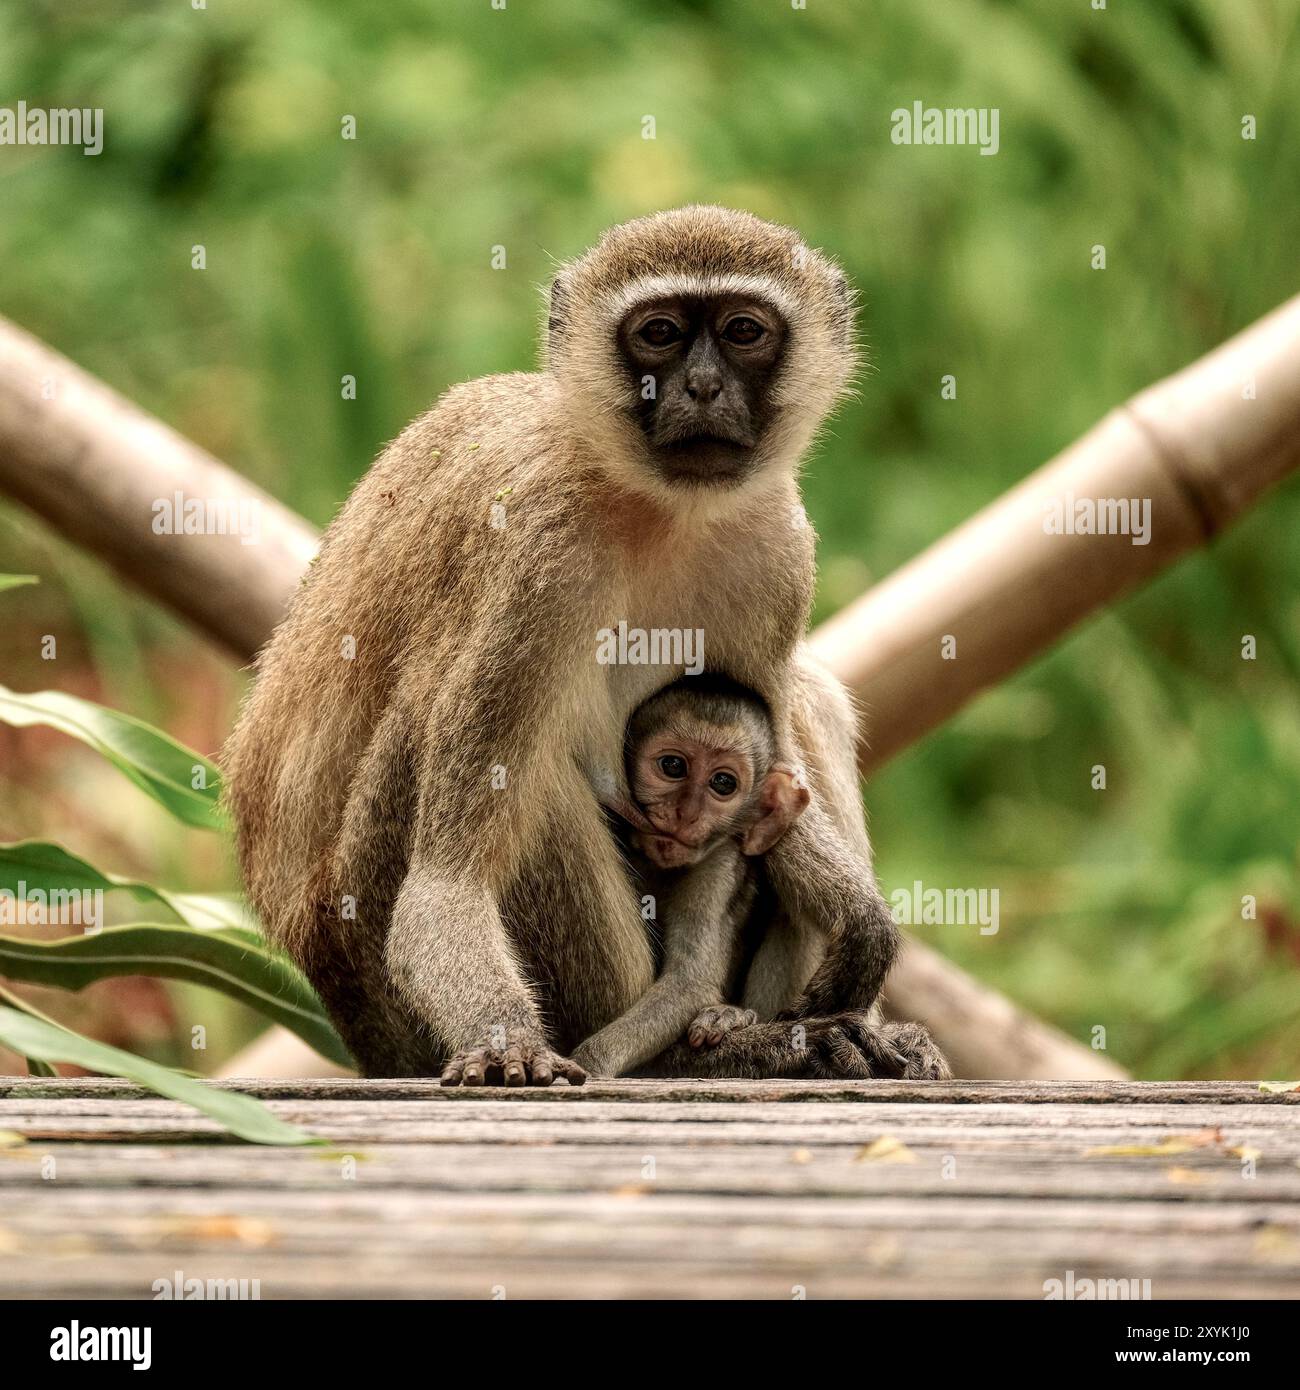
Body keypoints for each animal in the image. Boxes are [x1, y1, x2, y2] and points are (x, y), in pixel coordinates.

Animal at [571, 675, 810, 1078]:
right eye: (672, 765)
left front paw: (590, 1061)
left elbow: (690, 983)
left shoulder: (719, 863)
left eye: (723, 784)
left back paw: (728, 1018)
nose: (687, 813)